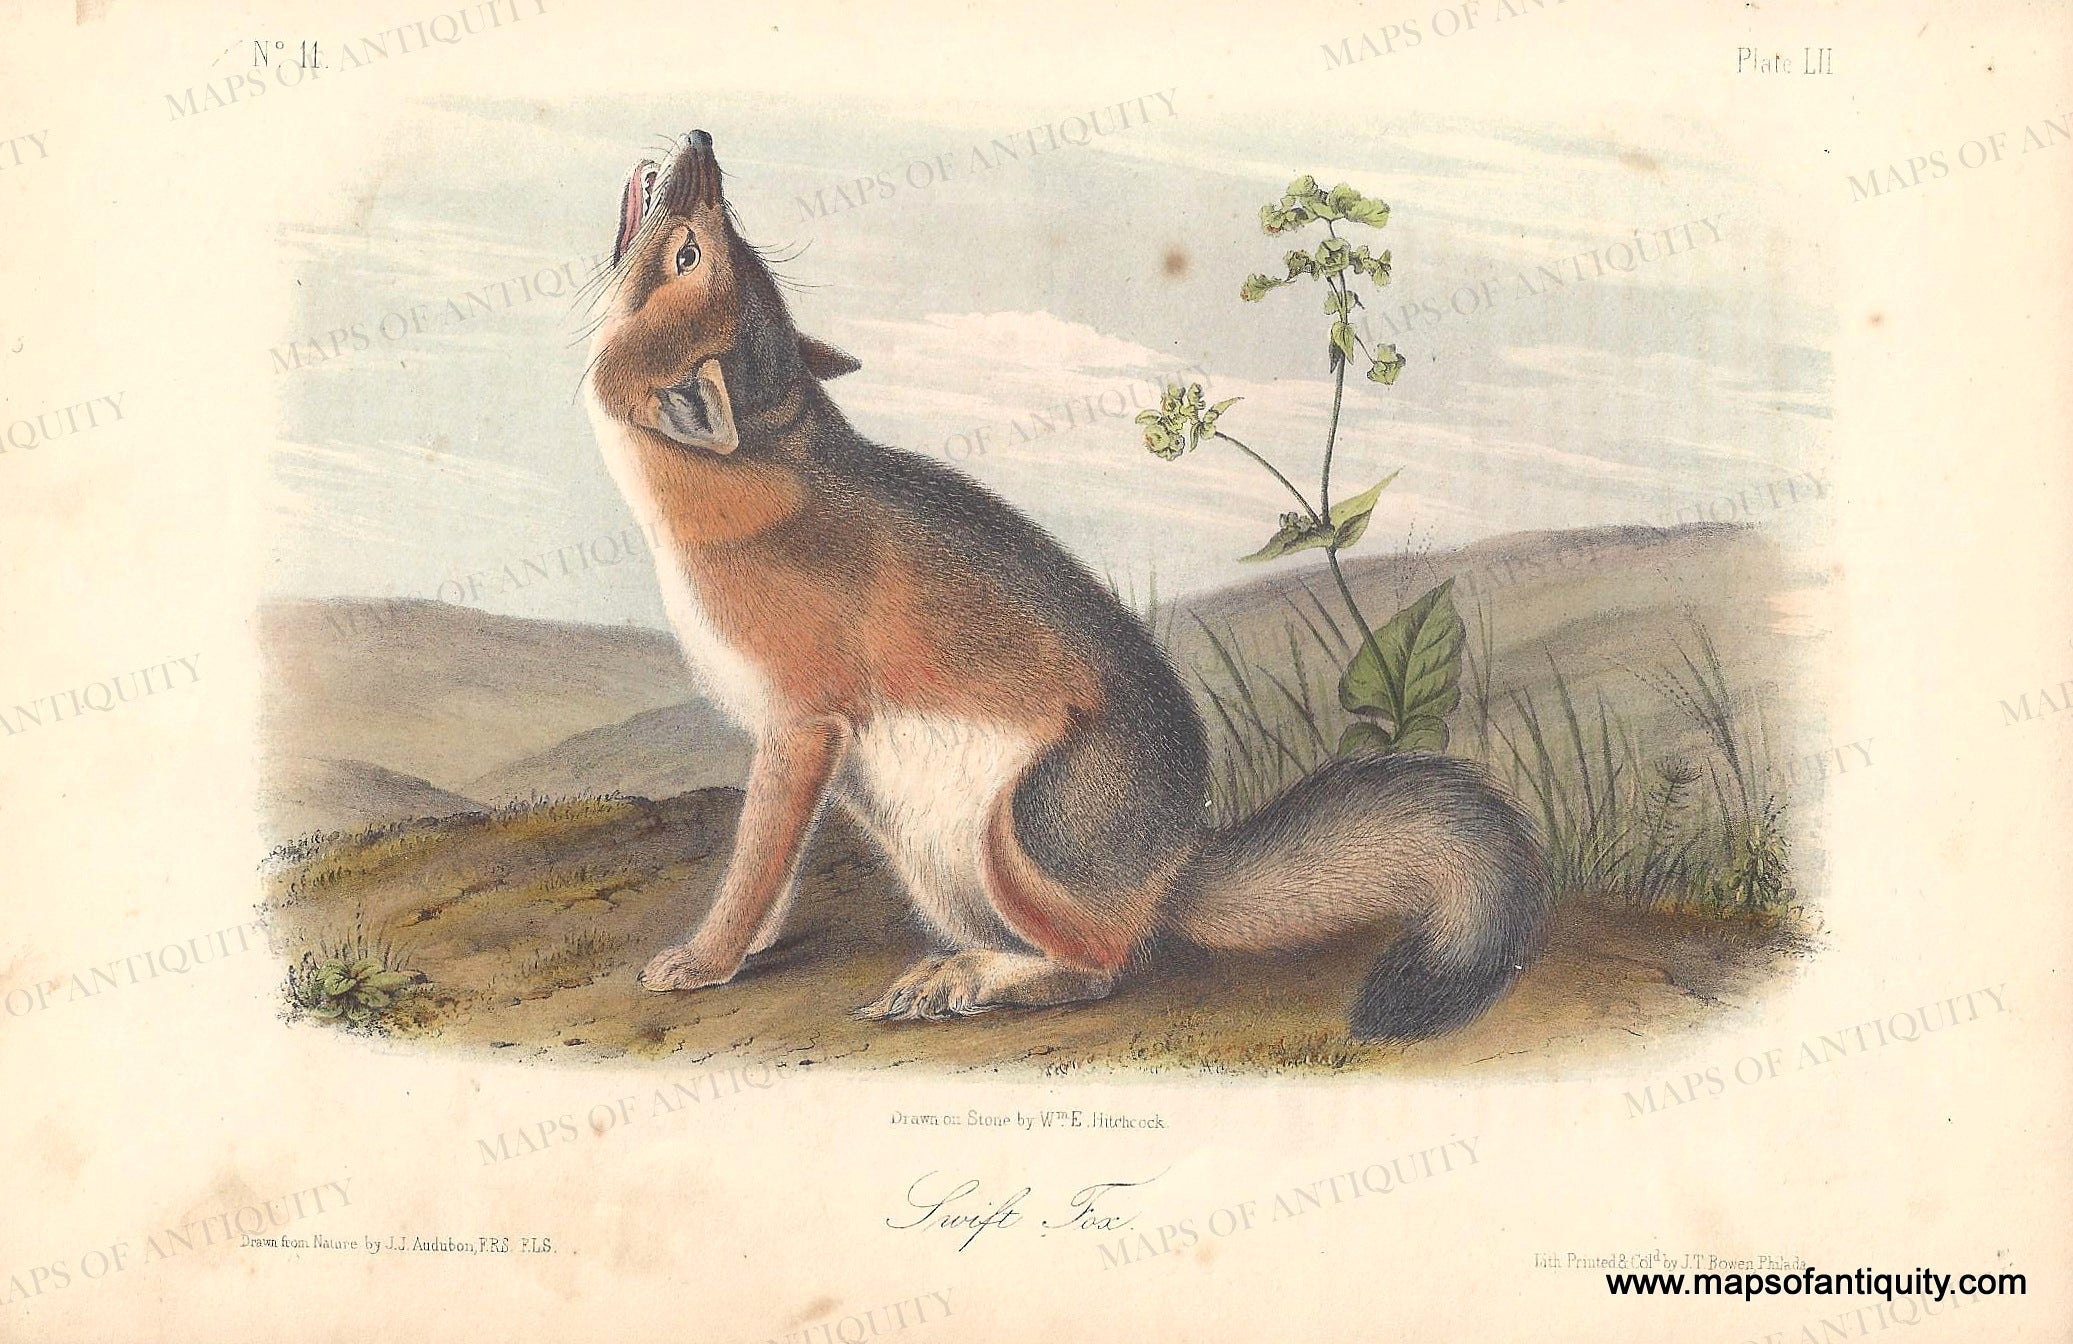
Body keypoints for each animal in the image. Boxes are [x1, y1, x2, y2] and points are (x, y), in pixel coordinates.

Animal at [580, 130, 1552, 1041]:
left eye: (697, 251)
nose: (702, 142)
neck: (760, 472)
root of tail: (1175, 867)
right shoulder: (804, 748)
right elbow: (772, 879)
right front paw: (742, 953)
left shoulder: (799, 730)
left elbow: (751, 869)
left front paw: (703, 961)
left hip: (1015, 835)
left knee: (1106, 965)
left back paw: (966, 980)